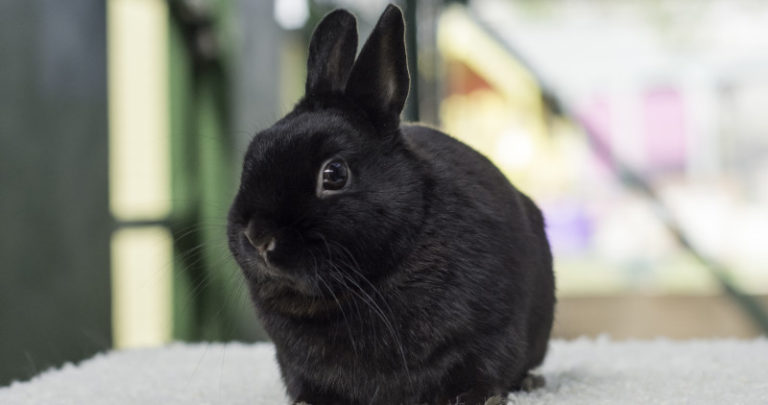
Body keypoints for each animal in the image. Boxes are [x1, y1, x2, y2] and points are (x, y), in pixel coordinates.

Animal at [227, 4, 555, 405]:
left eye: (334, 174)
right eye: (252, 154)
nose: (258, 236)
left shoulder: (492, 331)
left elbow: (485, 366)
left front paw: (479, 397)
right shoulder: (292, 362)